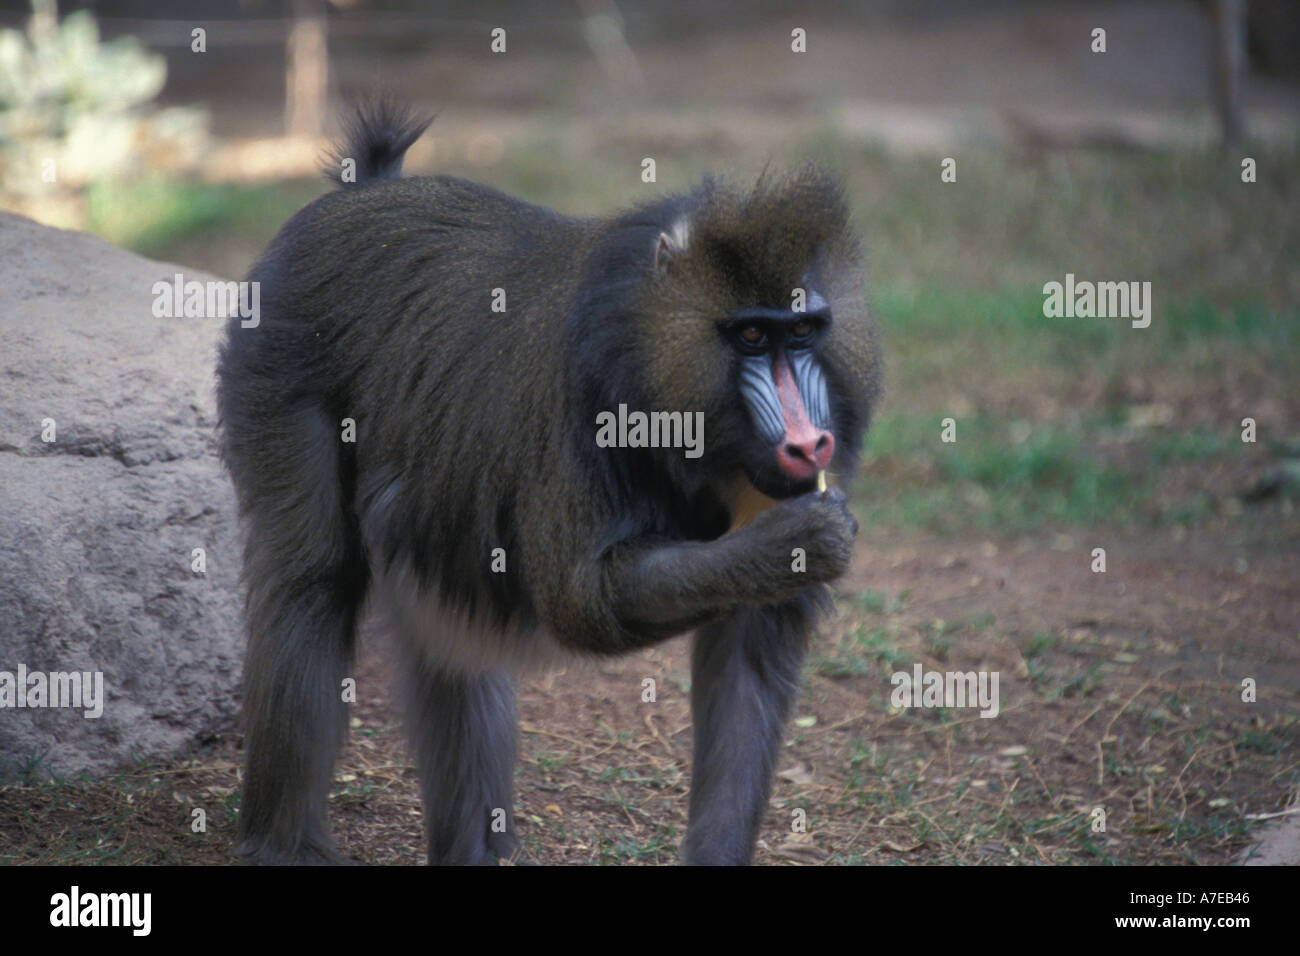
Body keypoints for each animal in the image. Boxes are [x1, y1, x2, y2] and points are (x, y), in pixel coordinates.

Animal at [216, 101, 880, 866]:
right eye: (749, 337)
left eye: (802, 333)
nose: (808, 443)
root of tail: (359, 195)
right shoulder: (582, 414)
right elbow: (580, 599)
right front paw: (806, 538)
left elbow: (747, 665)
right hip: (280, 373)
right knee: (310, 584)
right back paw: (283, 844)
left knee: (448, 638)